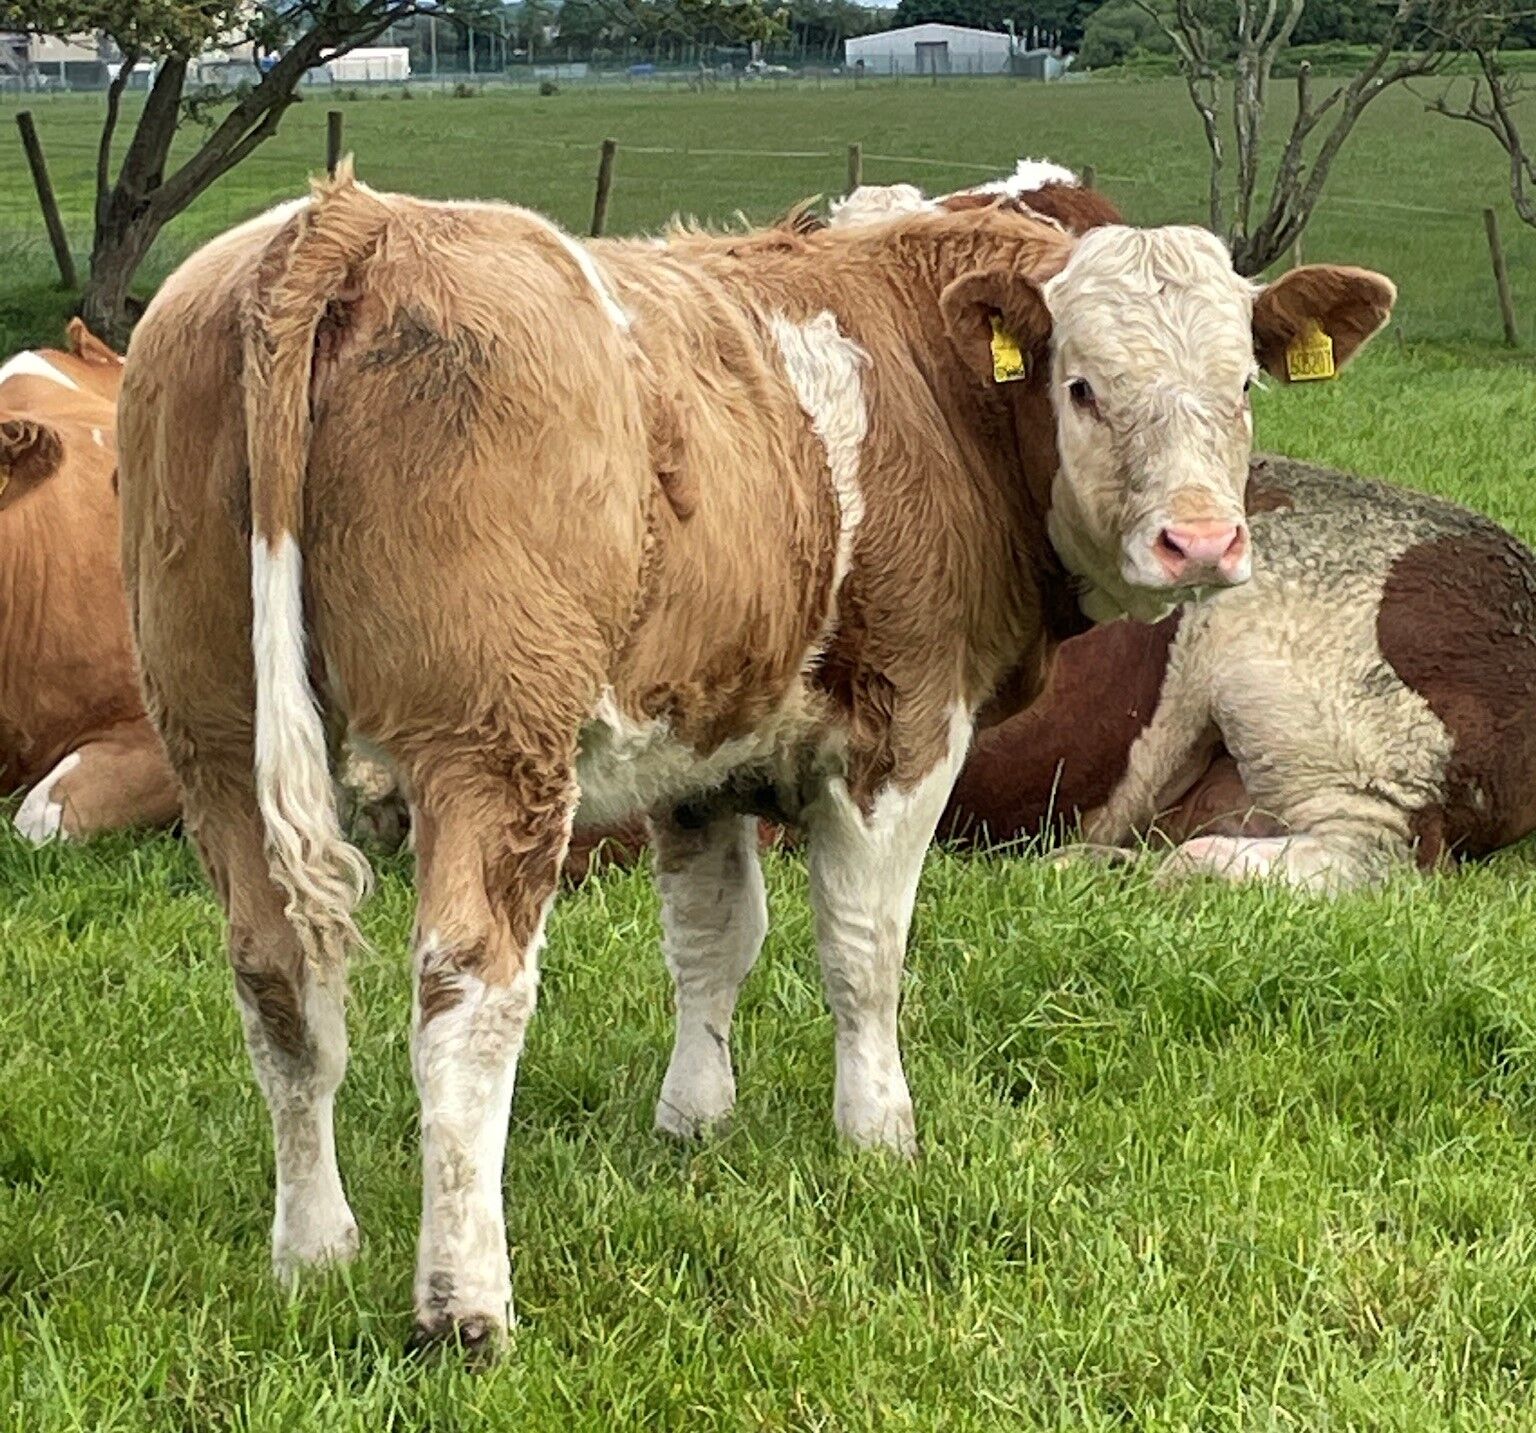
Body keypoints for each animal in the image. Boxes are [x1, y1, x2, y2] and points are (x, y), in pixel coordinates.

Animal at [117, 166, 1392, 1350]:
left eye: (1241, 386)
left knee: (279, 982)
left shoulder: (703, 748)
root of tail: (352, 218)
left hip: (217, 737)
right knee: (468, 1001)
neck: (929, 376)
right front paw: (878, 1134)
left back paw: (315, 1249)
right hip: (491, 748)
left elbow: (712, 939)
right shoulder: (905, 726)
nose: (1201, 541)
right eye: (1082, 386)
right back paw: (464, 1303)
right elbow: (863, 950)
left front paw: (695, 1118)